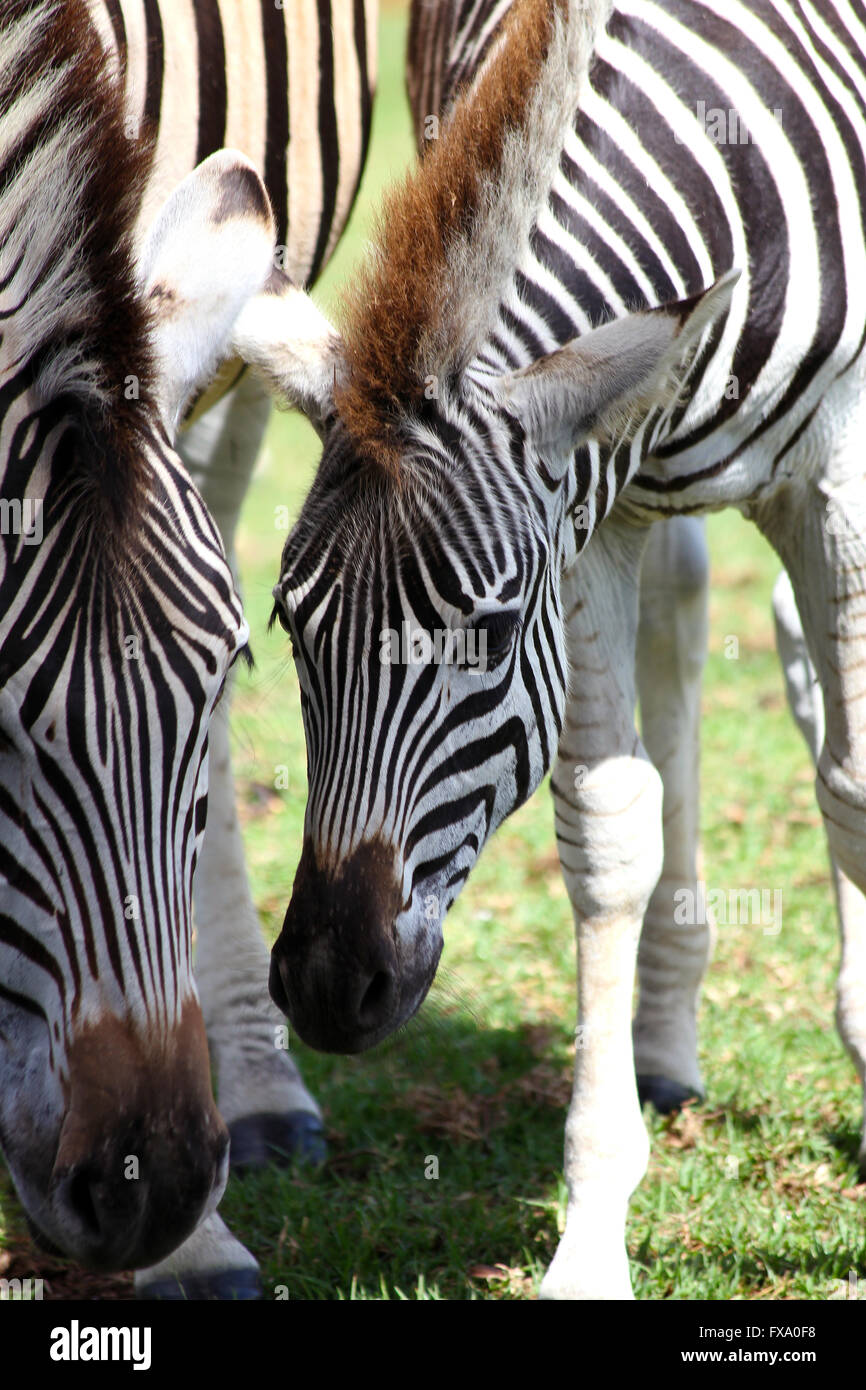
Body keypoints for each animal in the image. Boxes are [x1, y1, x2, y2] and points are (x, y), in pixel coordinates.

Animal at [229, 0, 866, 1298]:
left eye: (480, 628)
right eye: (291, 631)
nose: (325, 987)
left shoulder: (831, 459)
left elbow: (854, 786)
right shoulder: (585, 514)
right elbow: (610, 827)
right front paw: (588, 1241)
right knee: (683, 625)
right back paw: (664, 1037)